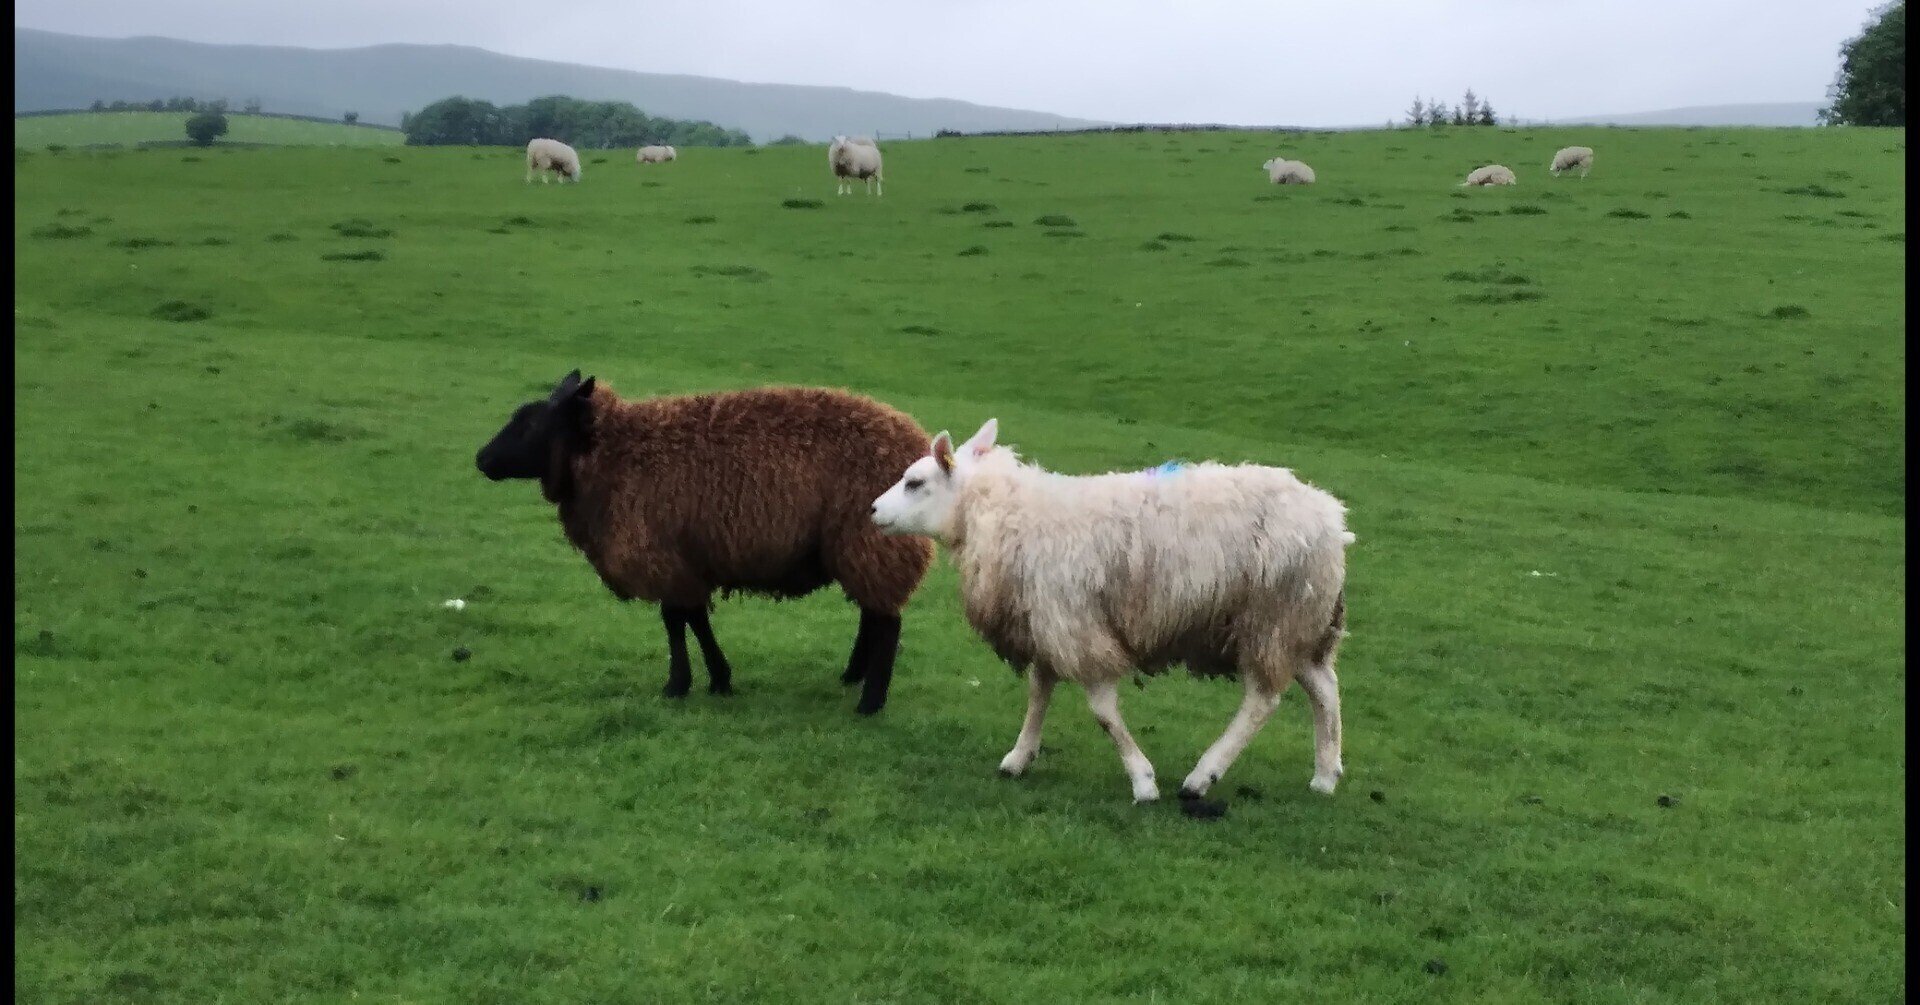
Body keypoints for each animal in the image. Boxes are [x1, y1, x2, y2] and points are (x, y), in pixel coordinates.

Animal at [476, 370, 935, 715]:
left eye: (531, 425)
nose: (481, 459)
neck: (614, 456)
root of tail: (913, 436)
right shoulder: (685, 559)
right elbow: (693, 618)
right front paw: (718, 679)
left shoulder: (663, 556)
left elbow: (675, 621)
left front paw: (679, 684)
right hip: (861, 547)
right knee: (872, 614)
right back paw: (852, 676)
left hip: (870, 543)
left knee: (887, 622)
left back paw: (870, 702)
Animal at [870, 420, 1353, 804]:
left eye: (915, 482)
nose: (873, 509)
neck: (1011, 516)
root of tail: (1332, 518)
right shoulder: (1048, 622)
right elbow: (1039, 693)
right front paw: (1019, 757)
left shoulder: (1078, 626)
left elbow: (1103, 712)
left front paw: (1143, 781)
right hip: (1301, 622)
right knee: (1325, 689)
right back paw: (1325, 775)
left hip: (1272, 617)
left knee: (1263, 700)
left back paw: (1202, 776)